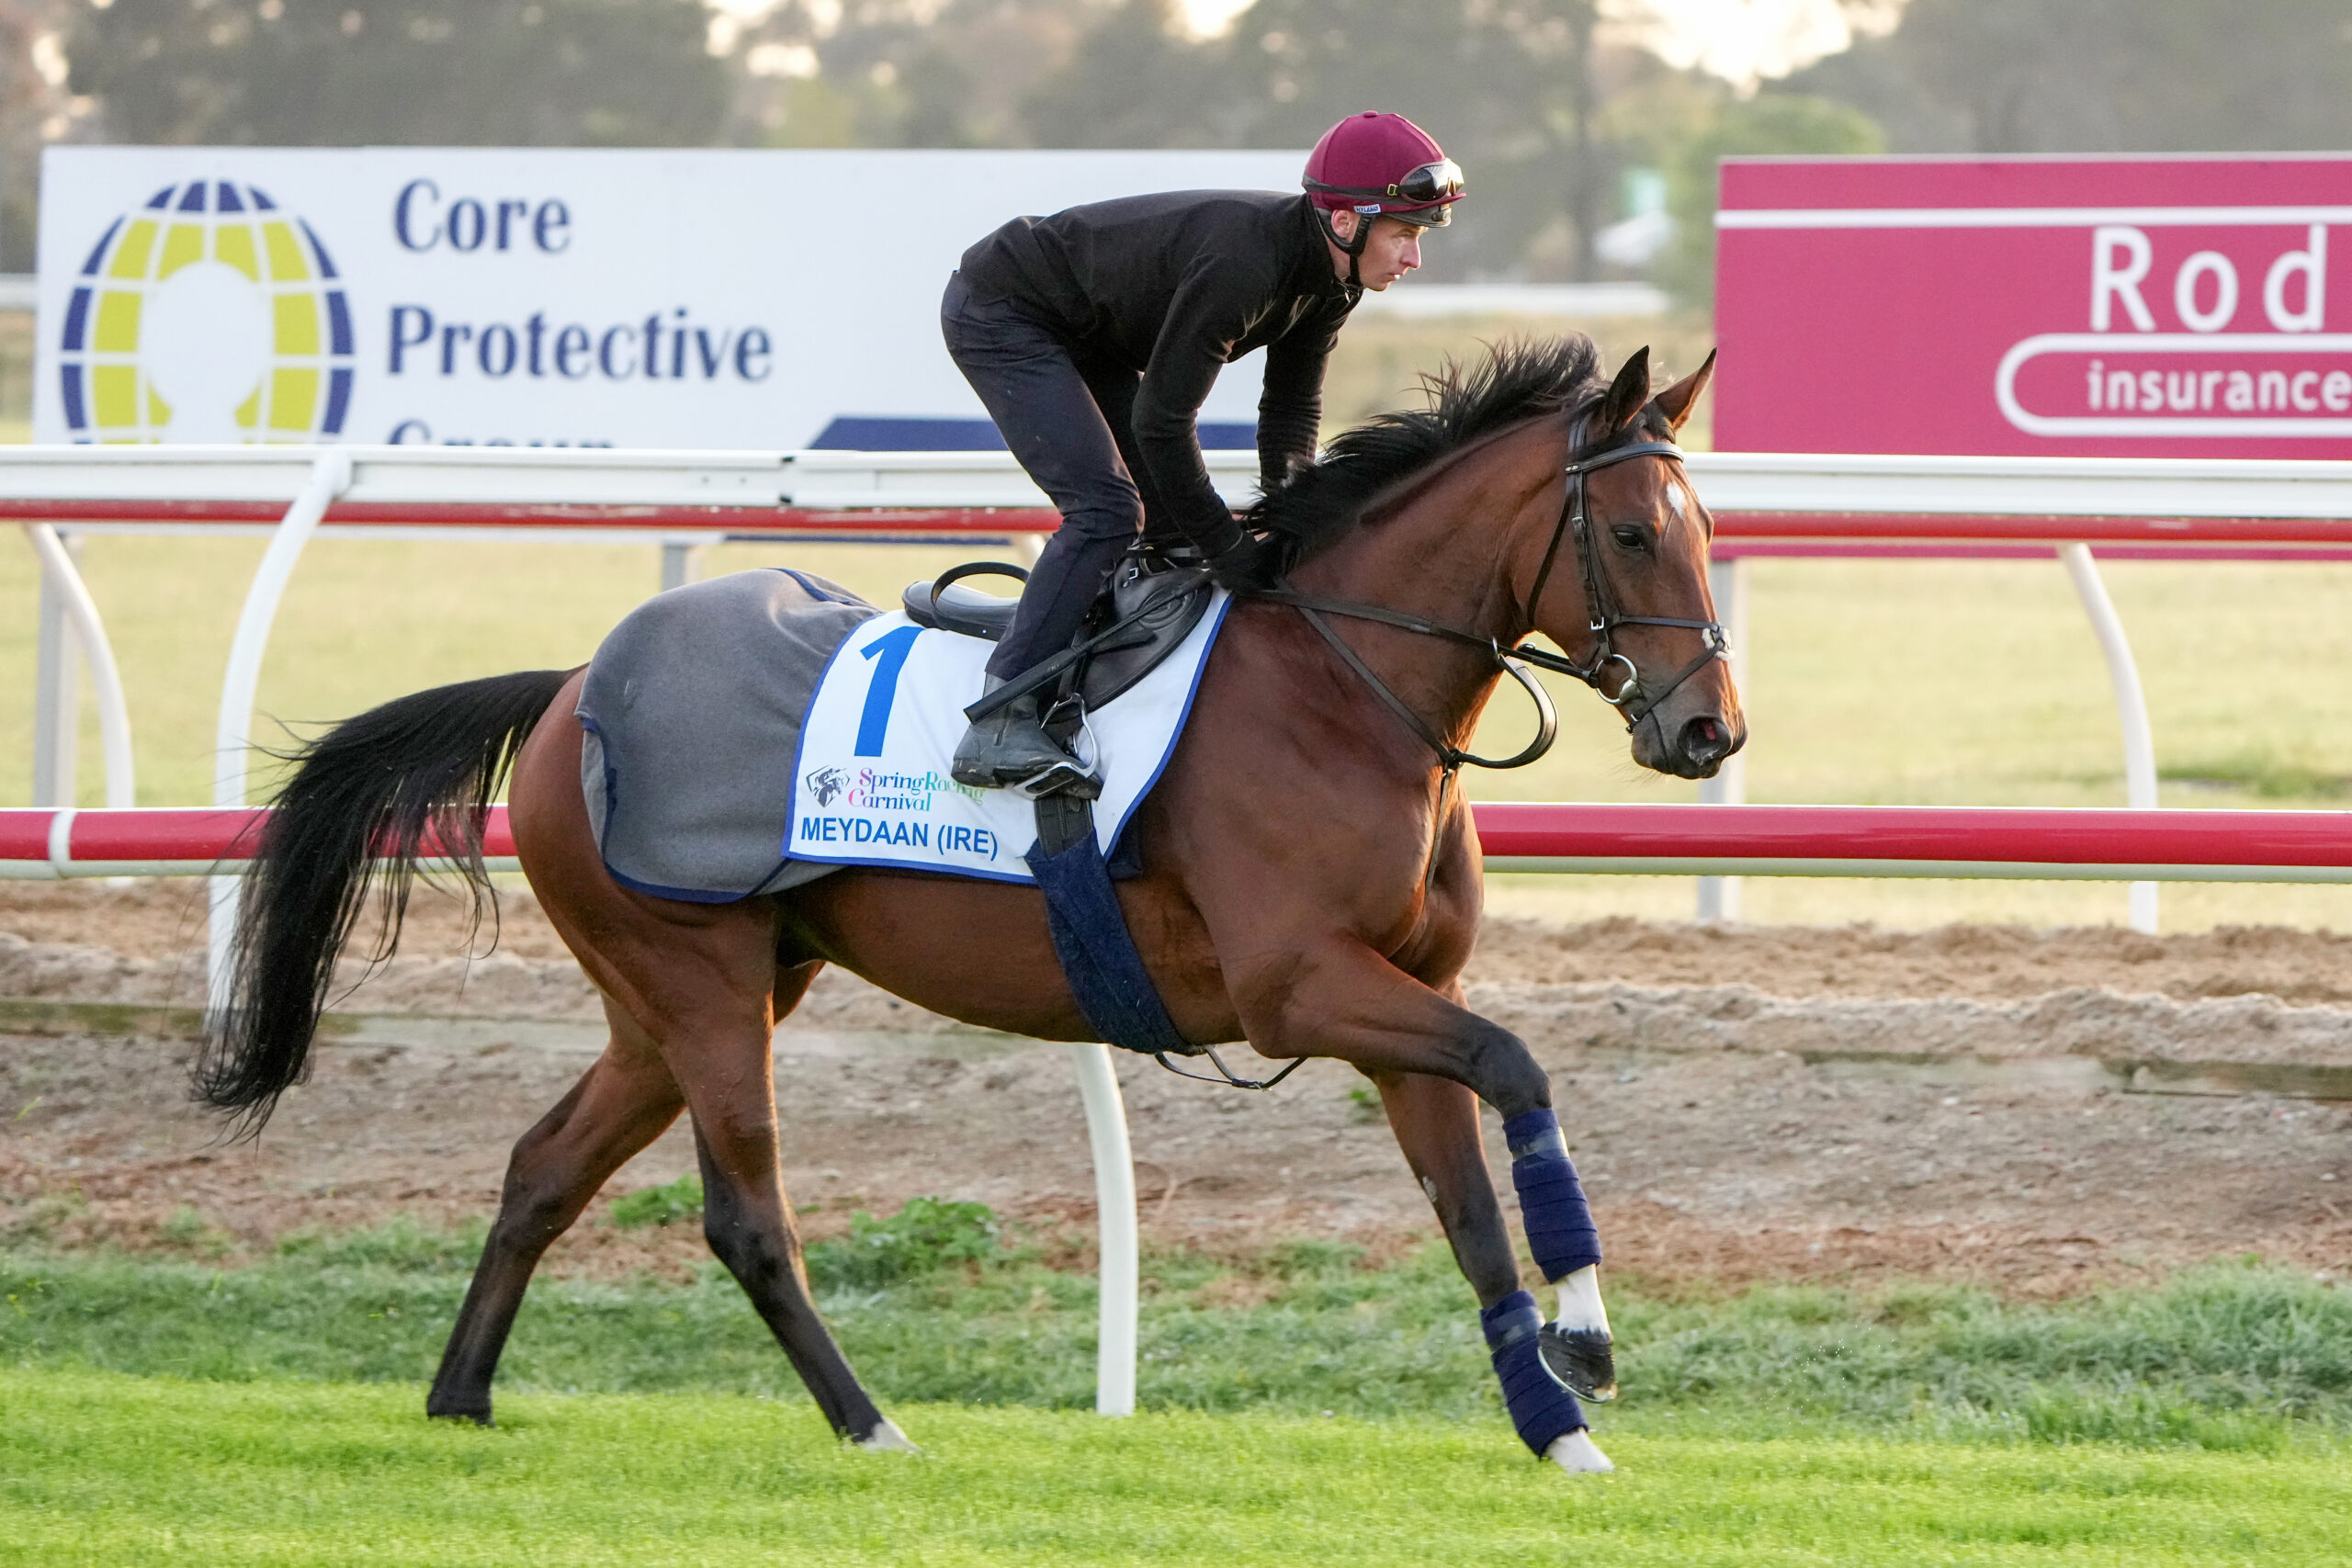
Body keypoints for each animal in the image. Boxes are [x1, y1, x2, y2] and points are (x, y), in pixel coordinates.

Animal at [197, 336, 1743, 1475]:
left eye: (1704, 527)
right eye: (1627, 531)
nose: (1710, 730)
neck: (1338, 689)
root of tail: (572, 684)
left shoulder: (1401, 993)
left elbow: (1470, 1204)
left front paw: (1556, 1423)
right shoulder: (1298, 985)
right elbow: (1520, 1065)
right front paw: (1589, 1335)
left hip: (695, 990)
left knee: (542, 1165)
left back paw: (459, 1395)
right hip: (697, 978)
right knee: (745, 1215)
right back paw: (871, 1421)